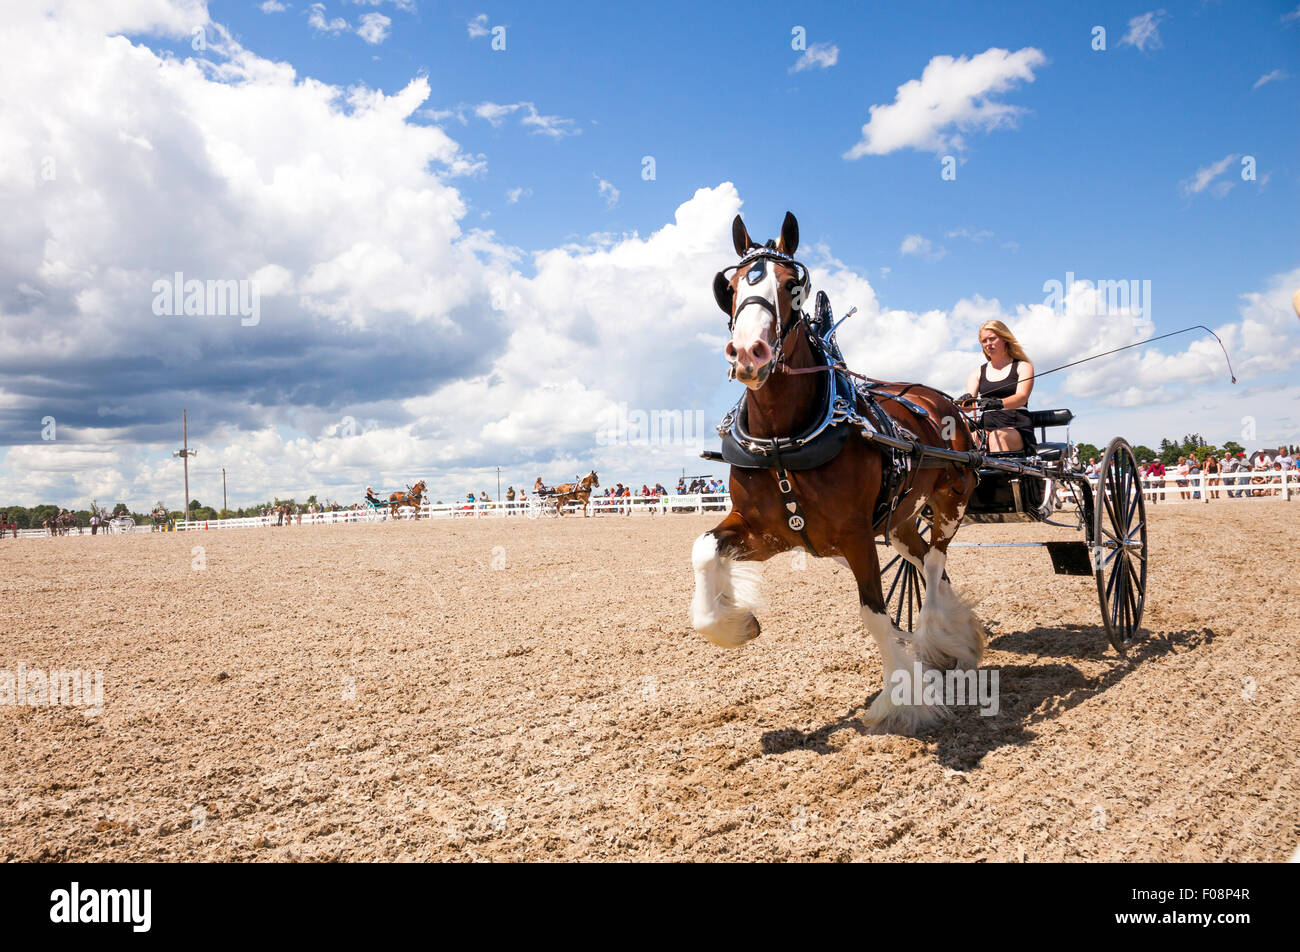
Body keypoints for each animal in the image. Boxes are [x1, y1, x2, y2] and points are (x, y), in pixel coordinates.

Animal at [689, 212, 986, 734]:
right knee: (926, 561)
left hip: (952, 500)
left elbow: (876, 616)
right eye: (729, 287)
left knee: (934, 563)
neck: (784, 445)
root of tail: (942, 401)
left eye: (793, 285)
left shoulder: (856, 535)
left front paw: (900, 703)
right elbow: (703, 550)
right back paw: (954, 638)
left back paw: (938, 636)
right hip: (902, 520)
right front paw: (736, 624)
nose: (748, 353)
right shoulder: (768, 533)